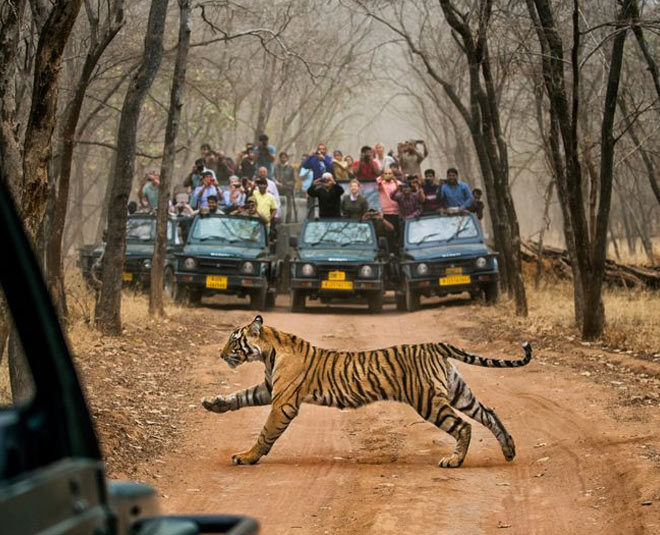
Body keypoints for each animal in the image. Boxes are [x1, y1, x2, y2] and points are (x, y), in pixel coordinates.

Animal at [201, 315, 532, 468]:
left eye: (234, 341)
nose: (220, 354)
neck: (270, 351)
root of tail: (434, 344)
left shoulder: (283, 402)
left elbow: (265, 433)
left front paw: (247, 457)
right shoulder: (270, 388)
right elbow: (240, 396)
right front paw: (212, 403)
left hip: (429, 401)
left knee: (464, 426)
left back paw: (454, 461)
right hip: (458, 392)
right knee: (489, 413)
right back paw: (509, 450)